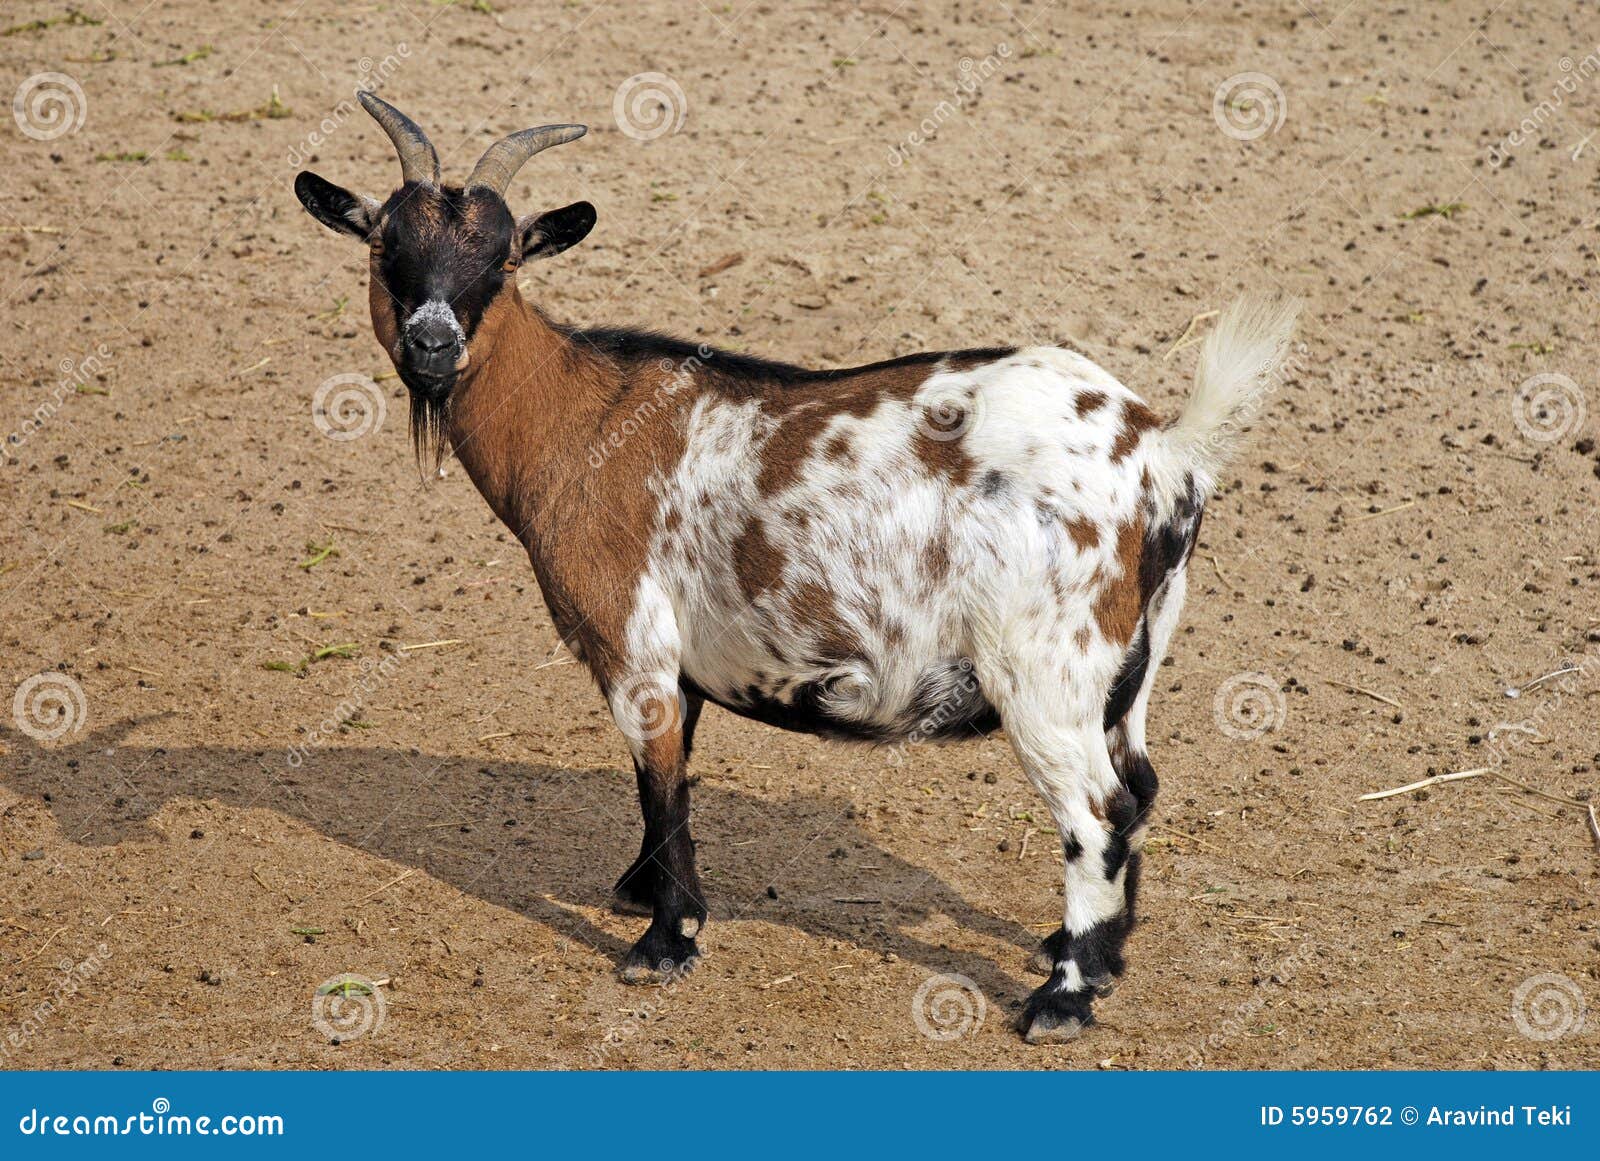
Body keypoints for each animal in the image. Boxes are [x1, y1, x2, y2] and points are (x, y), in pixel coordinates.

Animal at [295, 93, 1298, 1043]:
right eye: (385, 245)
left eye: (502, 262)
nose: (432, 344)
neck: (584, 417)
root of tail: (1164, 448)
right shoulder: (681, 660)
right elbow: (672, 774)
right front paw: (639, 890)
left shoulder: (633, 645)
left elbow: (661, 778)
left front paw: (665, 940)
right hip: (1131, 663)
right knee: (1141, 786)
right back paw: (1097, 952)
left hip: (1044, 668)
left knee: (1098, 811)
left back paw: (1064, 996)